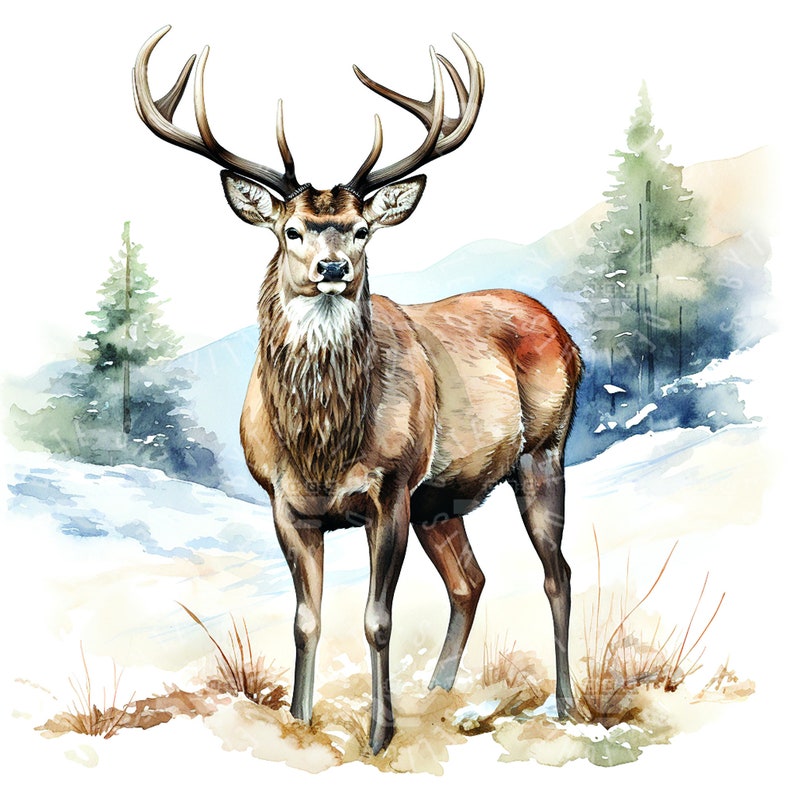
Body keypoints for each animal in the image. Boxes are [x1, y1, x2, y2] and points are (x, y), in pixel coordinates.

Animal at [133, 26, 582, 754]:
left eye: (362, 228)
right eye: (291, 229)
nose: (334, 267)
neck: (321, 444)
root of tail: (561, 329)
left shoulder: (391, 488)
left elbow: (377, 619)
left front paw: (378, 736)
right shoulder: (285, 503)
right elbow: (305, 619)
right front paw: (300, 720)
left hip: (542, 450)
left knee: (557, 572)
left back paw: (566, 705)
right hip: (441, 500)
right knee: (471, 581)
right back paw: (439, 691)